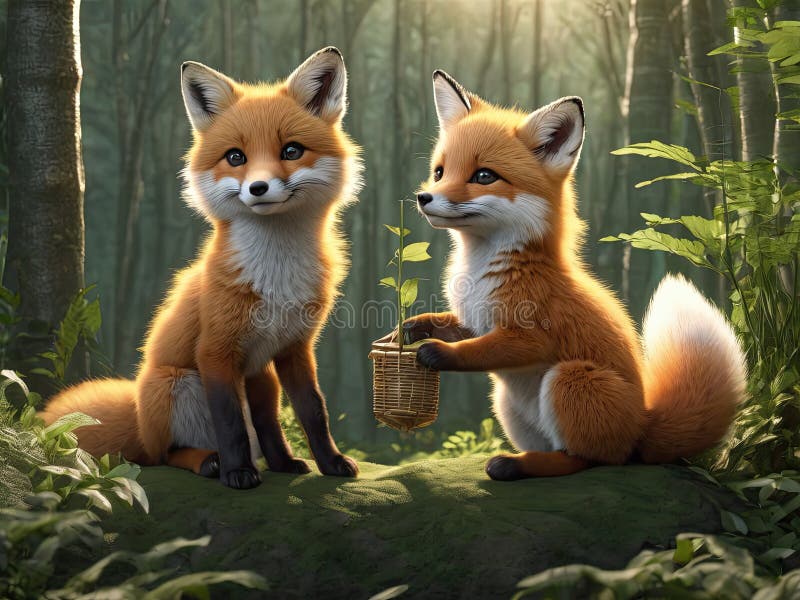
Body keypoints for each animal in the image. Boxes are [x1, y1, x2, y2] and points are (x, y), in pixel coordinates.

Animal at [39, 47, 362, 489]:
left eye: (292, 151)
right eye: (236, 157)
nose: (257, 188)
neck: (276, 275)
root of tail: (139, 417)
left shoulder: (294, 348)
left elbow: (314, 411)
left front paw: (330, 463)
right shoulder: (214, 352)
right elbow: (230, 424)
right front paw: (238, 473)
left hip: (262, 378)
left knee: (266, 427)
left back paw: (281, 461)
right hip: (179, 384)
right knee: (165, 455)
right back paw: (211, 462)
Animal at [403, 70, 747, 480]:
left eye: (484, 176)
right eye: (440, 172)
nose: (424, 197)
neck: (482, 270)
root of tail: (642, 427)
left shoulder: (530, 334)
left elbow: (476, 352)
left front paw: (437, 352)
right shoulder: (476, 320)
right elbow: (452, 327)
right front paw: (416, 327)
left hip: (570, 379)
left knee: (589, 459)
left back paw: (515, 465)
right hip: (506, 402)